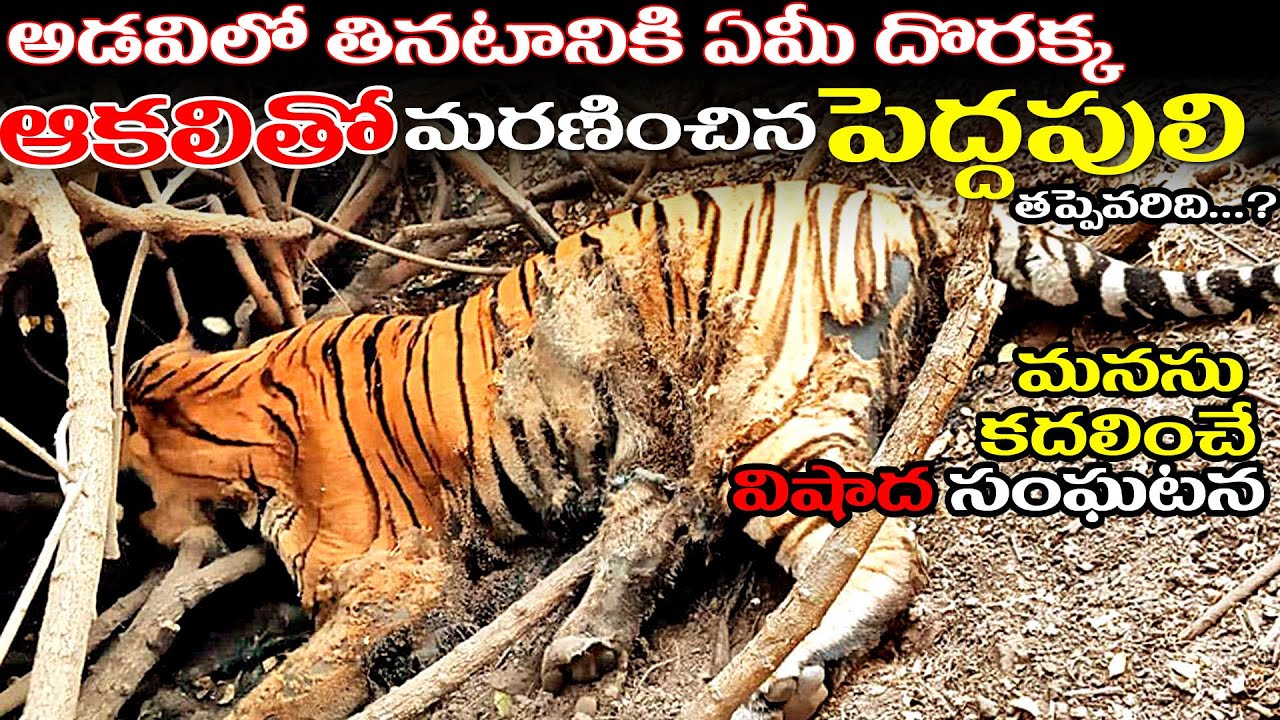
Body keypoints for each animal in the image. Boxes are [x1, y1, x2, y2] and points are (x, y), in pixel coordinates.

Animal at [121, 181, 1280, 720]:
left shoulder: (388, 579)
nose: (145, 539)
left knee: (870, 553)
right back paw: (602, 646)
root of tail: (896, 194)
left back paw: (789, 671)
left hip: (760, 415)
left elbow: (289, 682)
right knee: (678, 533)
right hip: (705, 423)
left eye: (131, 502)